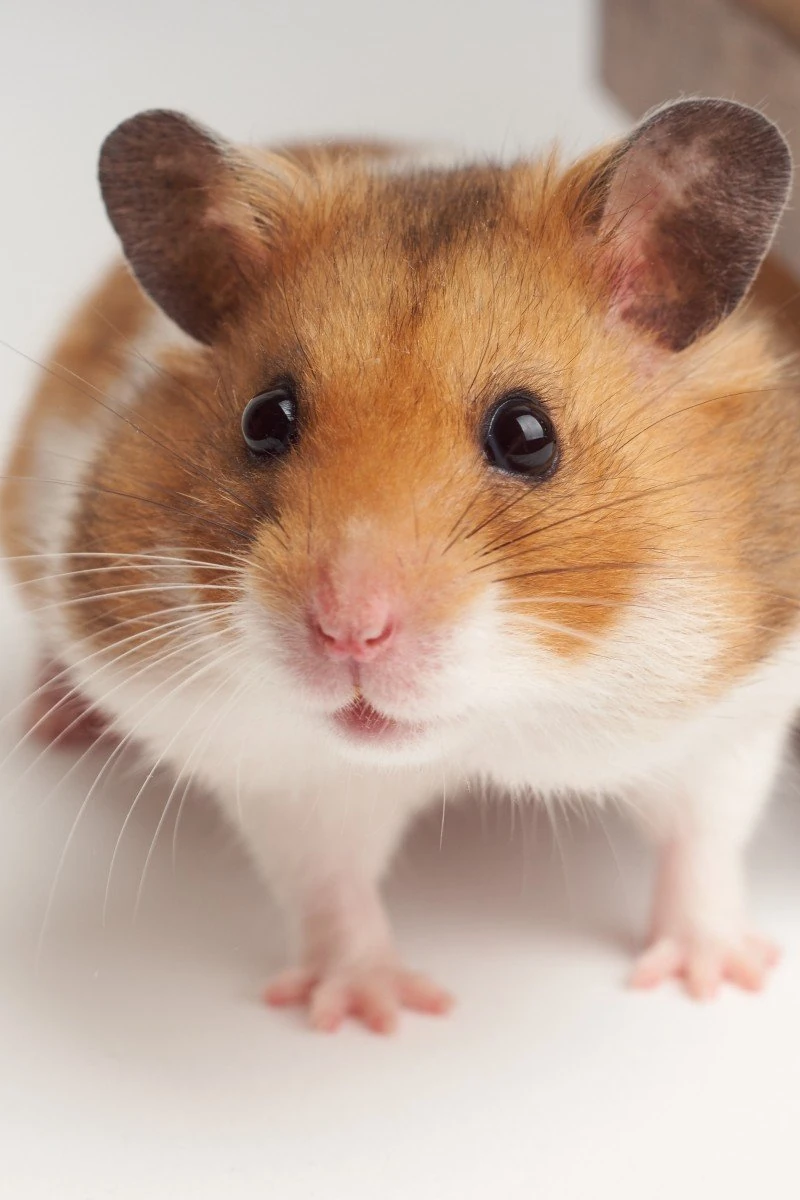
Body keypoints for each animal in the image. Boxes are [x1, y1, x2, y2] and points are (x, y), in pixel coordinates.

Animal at [2, 98, 795, 1033]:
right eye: (264, 419)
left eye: (527, 434)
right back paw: (53, 723)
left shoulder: (729, 715)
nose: (349, 632)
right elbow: (330, 885)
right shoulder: (284, 772)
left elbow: (703, 839)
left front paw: (715, 980)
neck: (485, 727)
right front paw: (371, 1014)